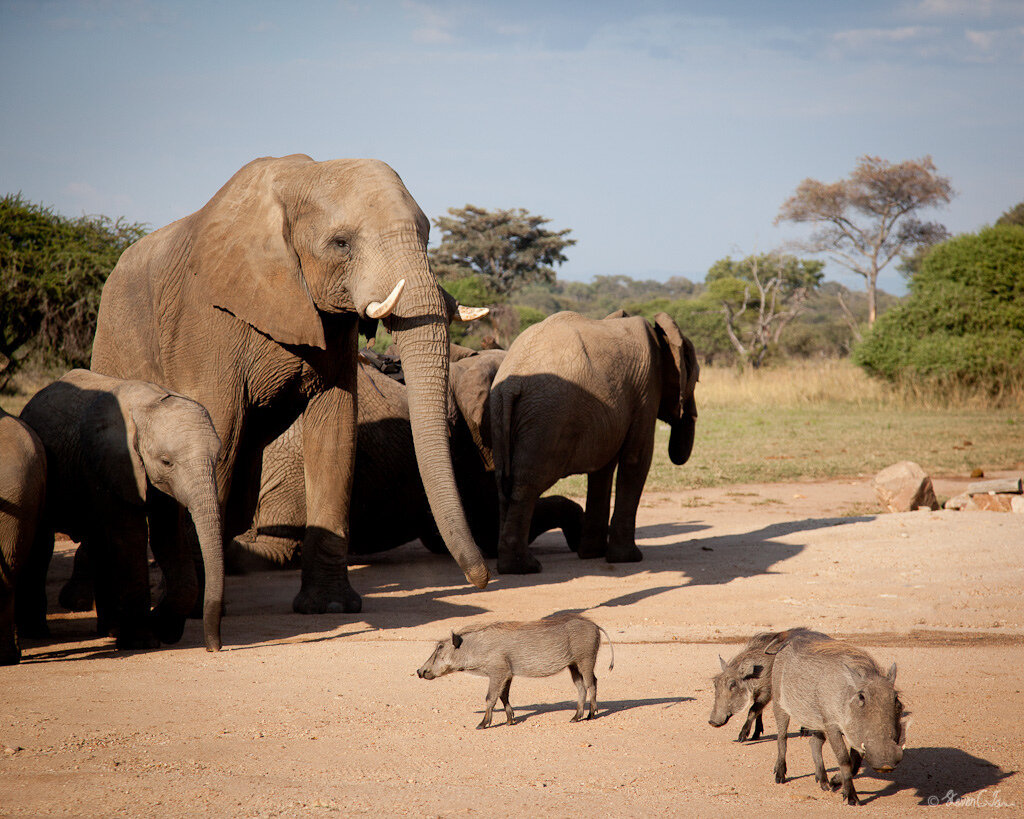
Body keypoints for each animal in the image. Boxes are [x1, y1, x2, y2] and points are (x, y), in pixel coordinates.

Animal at [18, 370, 225, 651]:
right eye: (166, 462)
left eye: (218, 458)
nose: (214, 647)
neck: (150, 403)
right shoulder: (112, 463)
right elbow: (132, 538)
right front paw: (144, 640)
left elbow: (168, 538)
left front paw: (163, 628)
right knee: (42, 545)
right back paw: (38, 632)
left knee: (99, 543)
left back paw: (112, 630)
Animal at [90, 154, 490, 633]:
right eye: (340, 244)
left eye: (427, 235)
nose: (482, 579)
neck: (303, 177)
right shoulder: (206, 322)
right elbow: (220, 429)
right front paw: (200, 610)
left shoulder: (335, 327)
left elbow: (335, 432)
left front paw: (330, 608)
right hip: (113, 339)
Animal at [490, 310, 699, 574]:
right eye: (696, 380)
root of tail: (511, 385)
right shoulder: (646, 390)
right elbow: (636, 460)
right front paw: (628, 558)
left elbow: (602, 469)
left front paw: (592, 554)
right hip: (546, 418)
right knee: (526, 484)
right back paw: (523, 567)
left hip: (499, 413)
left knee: (503, 483)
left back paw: (510, 564)